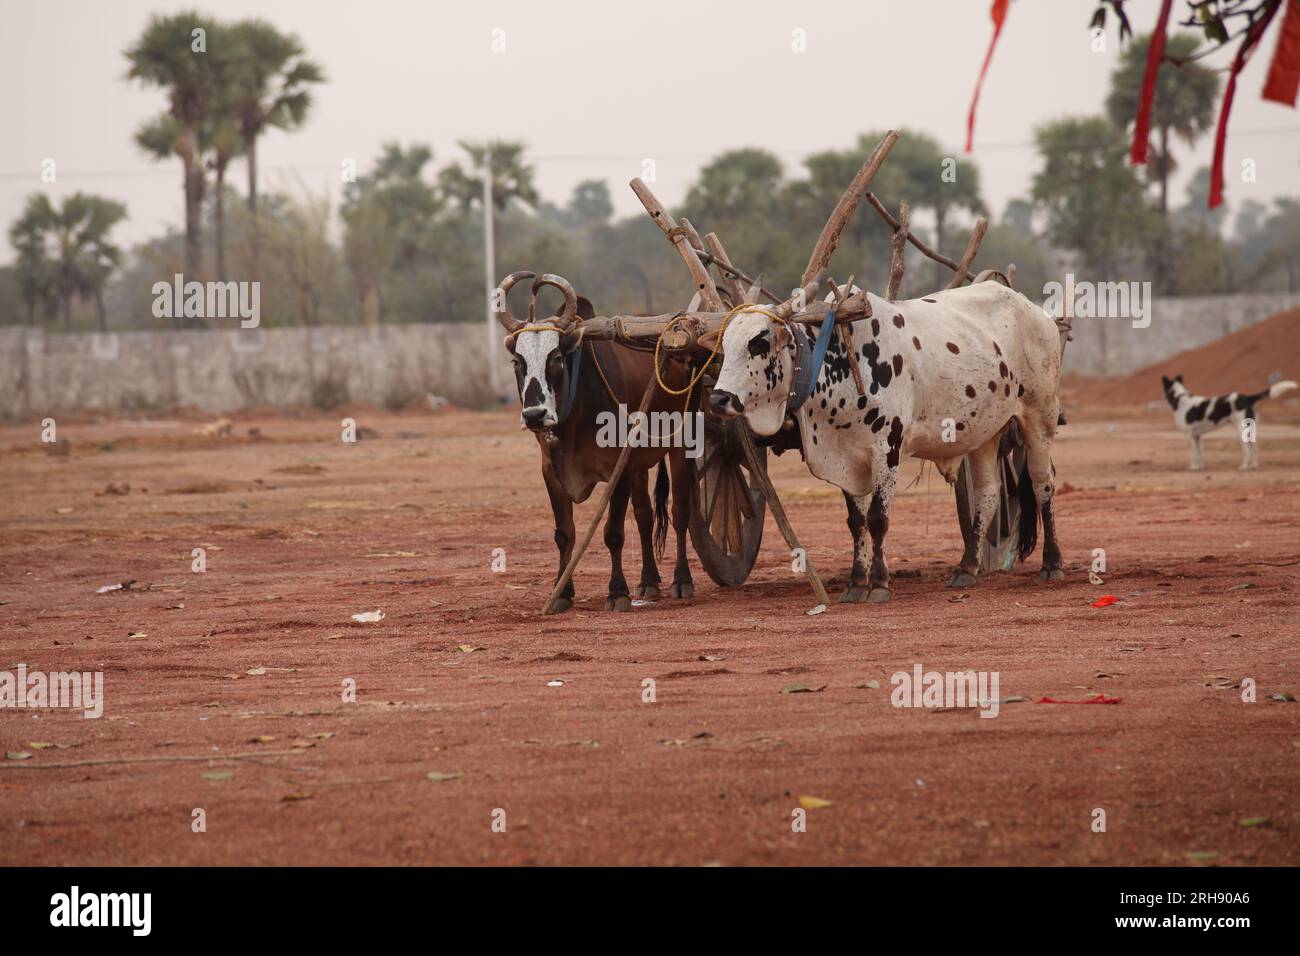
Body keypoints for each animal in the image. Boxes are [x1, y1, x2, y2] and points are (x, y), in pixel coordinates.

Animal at [495, 272, 696, 612]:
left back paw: (682, 581)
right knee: (644, 517)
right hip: (640, 463)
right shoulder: (551, 472)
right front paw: (561, 592)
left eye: (557, 358)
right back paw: (649, 582)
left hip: (683, 444)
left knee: (681, 512)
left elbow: (612, 532)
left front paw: (617, 592)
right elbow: (565, 534)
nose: (535, 415)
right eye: (516, 362)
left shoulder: (618, 469)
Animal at [707, 280, 1066, 602]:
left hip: (1039, 415)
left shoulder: (887, 451)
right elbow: (856, 523)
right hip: (986, 433)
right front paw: (855, 584)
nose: (718, 399)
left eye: (759, 342)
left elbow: (878, 519)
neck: (840, 363)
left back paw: (1052, 563)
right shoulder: (847, 460)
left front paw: (879, 584)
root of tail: (1033, 309)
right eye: (724, 343)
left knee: (1042, 483)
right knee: (988, 493)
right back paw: (967, 567)